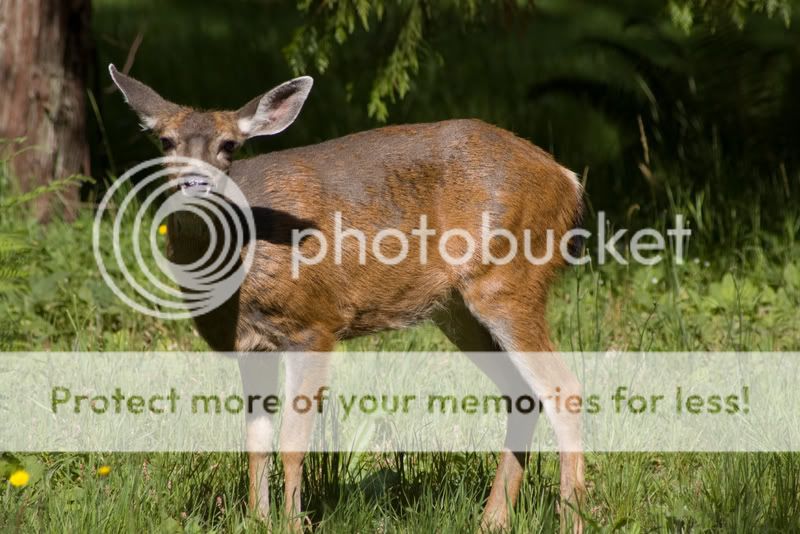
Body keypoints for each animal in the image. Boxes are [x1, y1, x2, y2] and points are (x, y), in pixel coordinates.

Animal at [109, 63, 586, 532]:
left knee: (564, 389)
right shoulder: (251, 344)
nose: (194, 184)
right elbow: (256, 440)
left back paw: (571, 519)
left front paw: (293, 523)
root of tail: (568, 179)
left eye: (229, 145)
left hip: (508, 280)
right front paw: (258, 518)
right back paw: (493, 519)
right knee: (522, 394)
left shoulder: (314, 324)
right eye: (165, 140)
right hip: (455, 309)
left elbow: (293, 440)